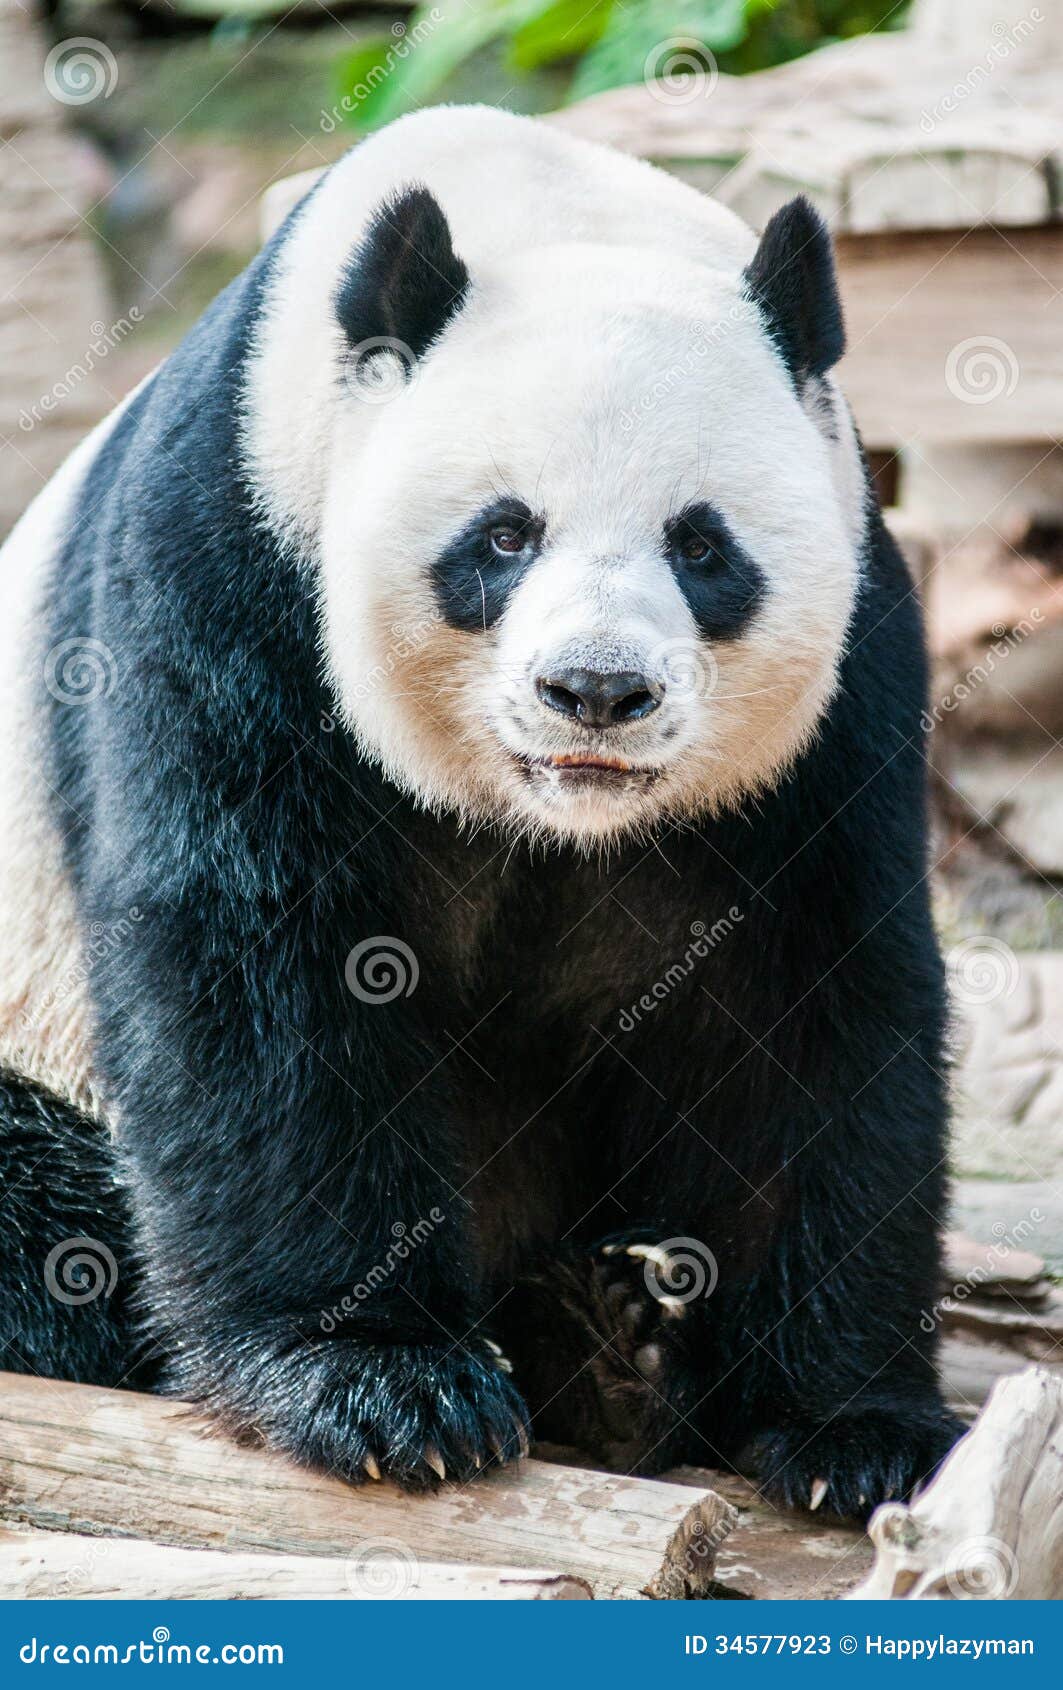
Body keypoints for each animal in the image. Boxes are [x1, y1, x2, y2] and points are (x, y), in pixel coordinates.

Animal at [0, 105, 962, 1515]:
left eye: (701, 545)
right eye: (504, 536)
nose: (596, 691)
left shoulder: (843, 693)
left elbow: (808, 1005)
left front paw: (851, 1428)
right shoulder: (234, 570)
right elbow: (260, 961)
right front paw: (381, 1382)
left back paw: (615, 1342)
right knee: (42, 1203)